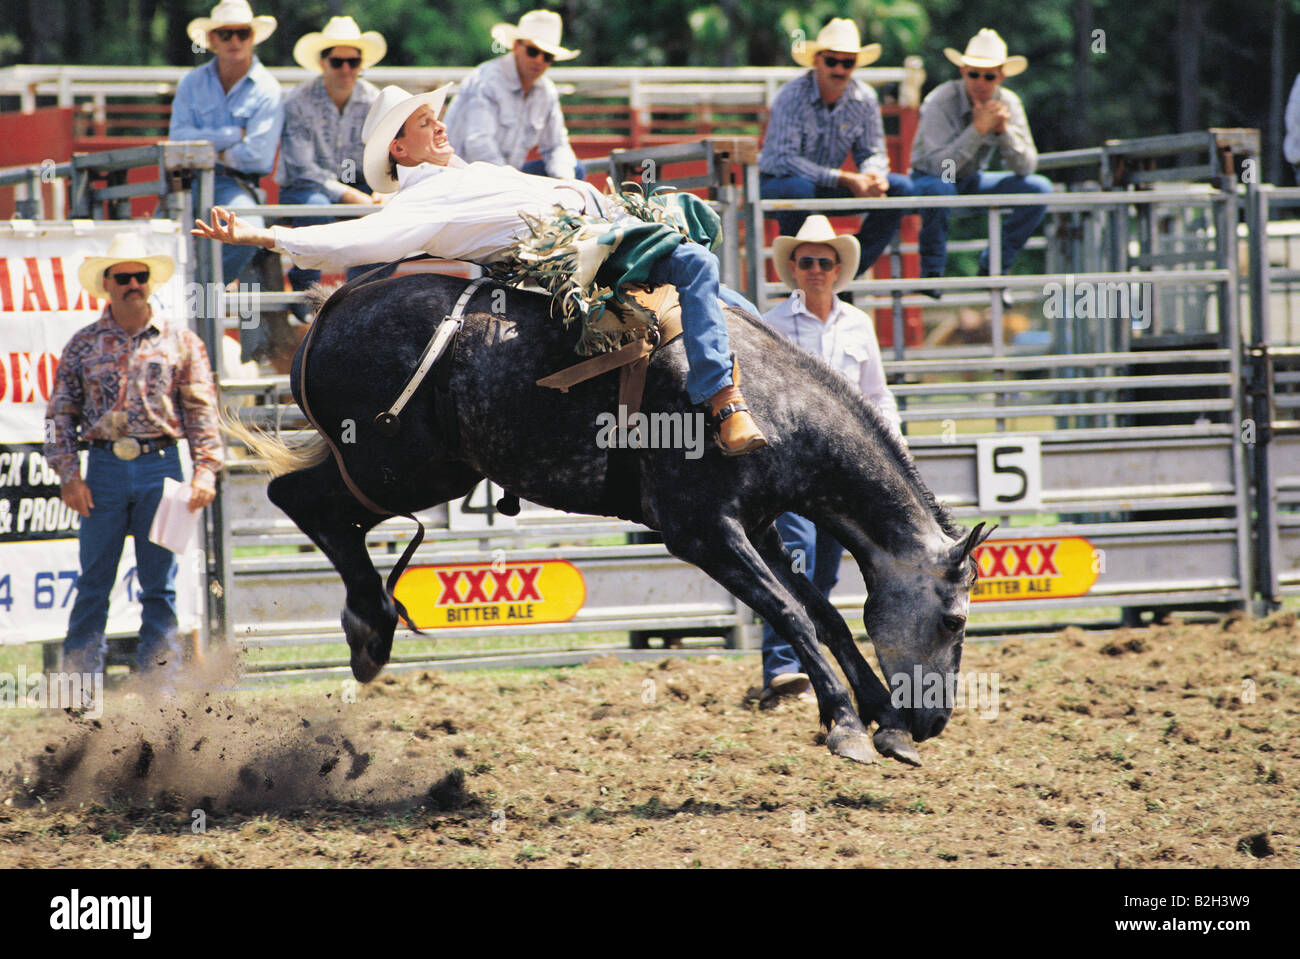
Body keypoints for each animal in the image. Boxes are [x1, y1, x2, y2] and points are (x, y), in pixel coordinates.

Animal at [239, 268, 992, 767]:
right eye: (955, 620)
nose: (936, 719)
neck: (763, 397)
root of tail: (335, 304)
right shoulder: (700, 530)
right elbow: (792, 613)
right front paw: (846, 724)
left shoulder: (758, 524)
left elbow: (824, 610)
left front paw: (885, 719)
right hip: (397, 462)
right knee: (298, 501)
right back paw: (370, 625)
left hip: (416, 467)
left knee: (321, 509)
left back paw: (370, 629)